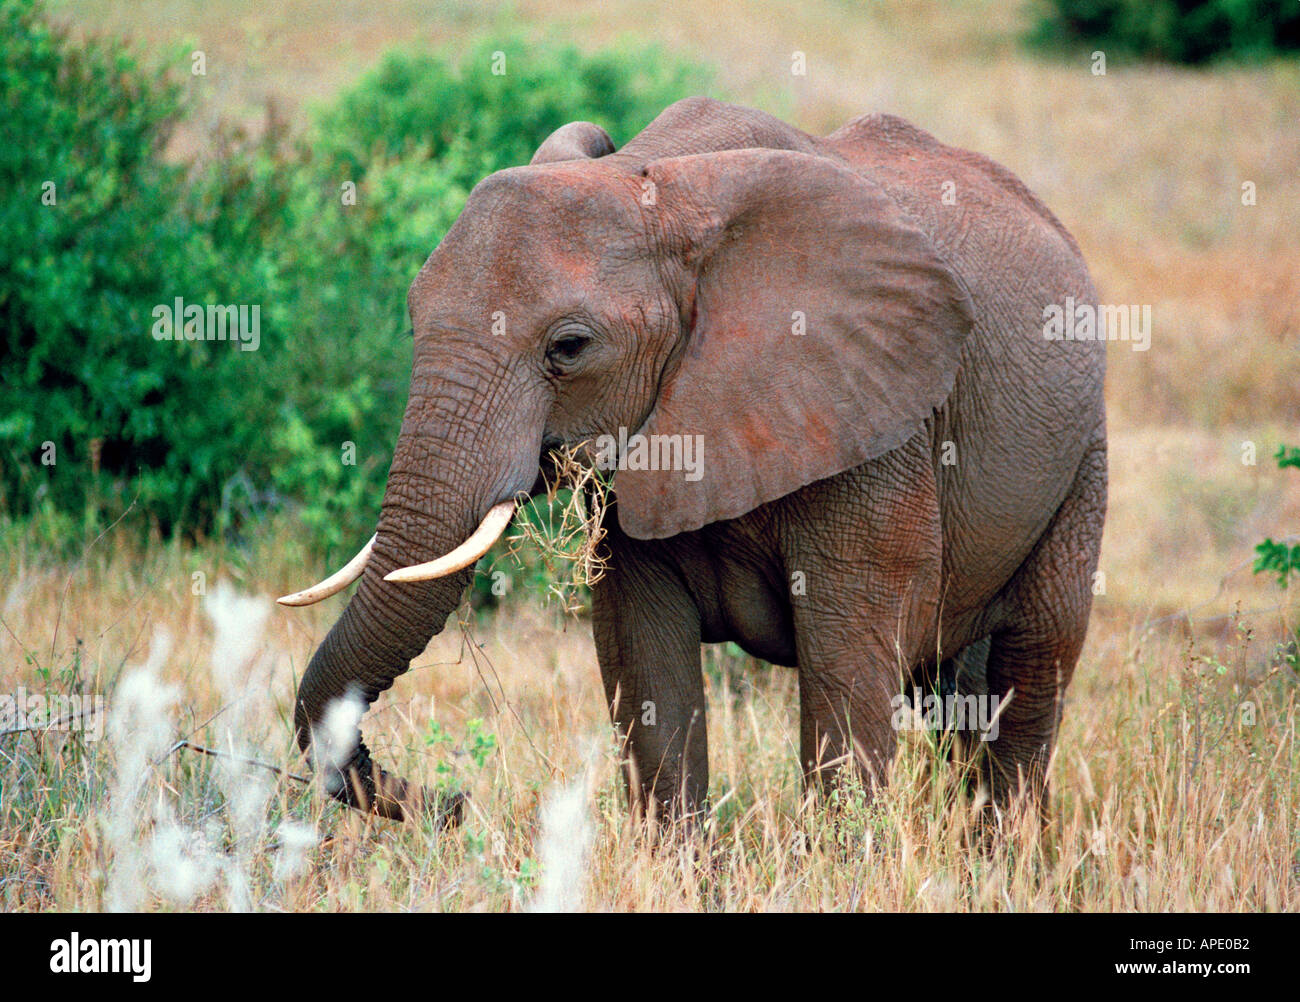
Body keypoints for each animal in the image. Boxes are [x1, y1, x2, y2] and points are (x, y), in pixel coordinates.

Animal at [278, 97, 1107, 827]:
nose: (454, 803)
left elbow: (847, 665)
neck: (655, 181)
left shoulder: (880, 424)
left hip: (1083, 452)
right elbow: (644, 661)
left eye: (569, 347)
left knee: (1032, 669)